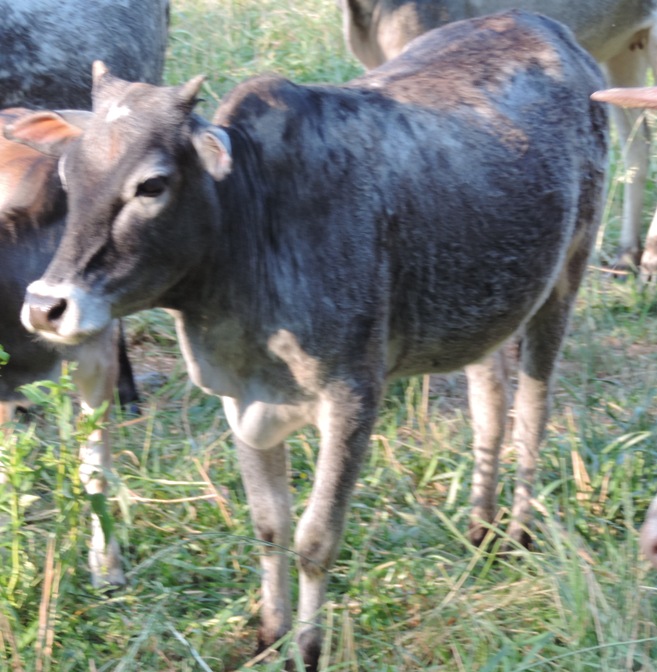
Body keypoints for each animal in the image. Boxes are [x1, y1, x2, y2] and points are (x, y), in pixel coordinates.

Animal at [6, 11, 608, 669]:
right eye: (68, 176)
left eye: (151, 185)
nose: (45, 306)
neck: (252, 225)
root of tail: (544, 25)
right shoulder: (242, 398)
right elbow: (270, 525)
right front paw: (269, 634)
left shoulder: (353, 398)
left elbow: (316, 539)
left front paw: (309, 647)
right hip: (490, 302)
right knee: (489, 407)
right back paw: (481, 527)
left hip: (565, 277)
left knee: (532, 411)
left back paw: (519, 531)